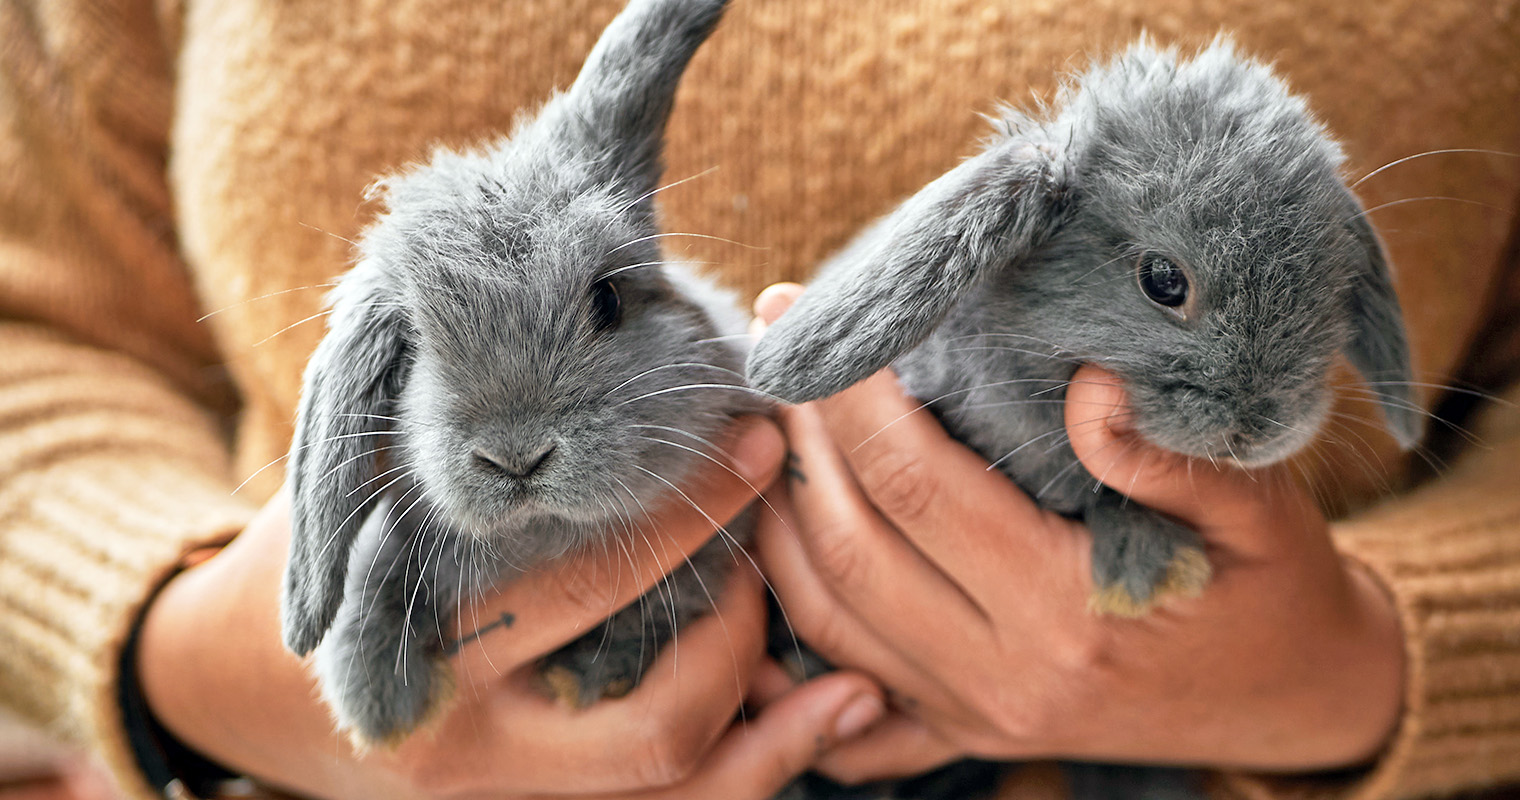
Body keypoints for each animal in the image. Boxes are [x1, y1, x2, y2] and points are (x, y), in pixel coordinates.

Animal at [276, 0, 768, 746]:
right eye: (412, 349)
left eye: (607, 300)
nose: (516, 457)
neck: (539, 538)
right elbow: (374, 573)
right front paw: (381, 706)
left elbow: (675, 596)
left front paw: (591, 672)